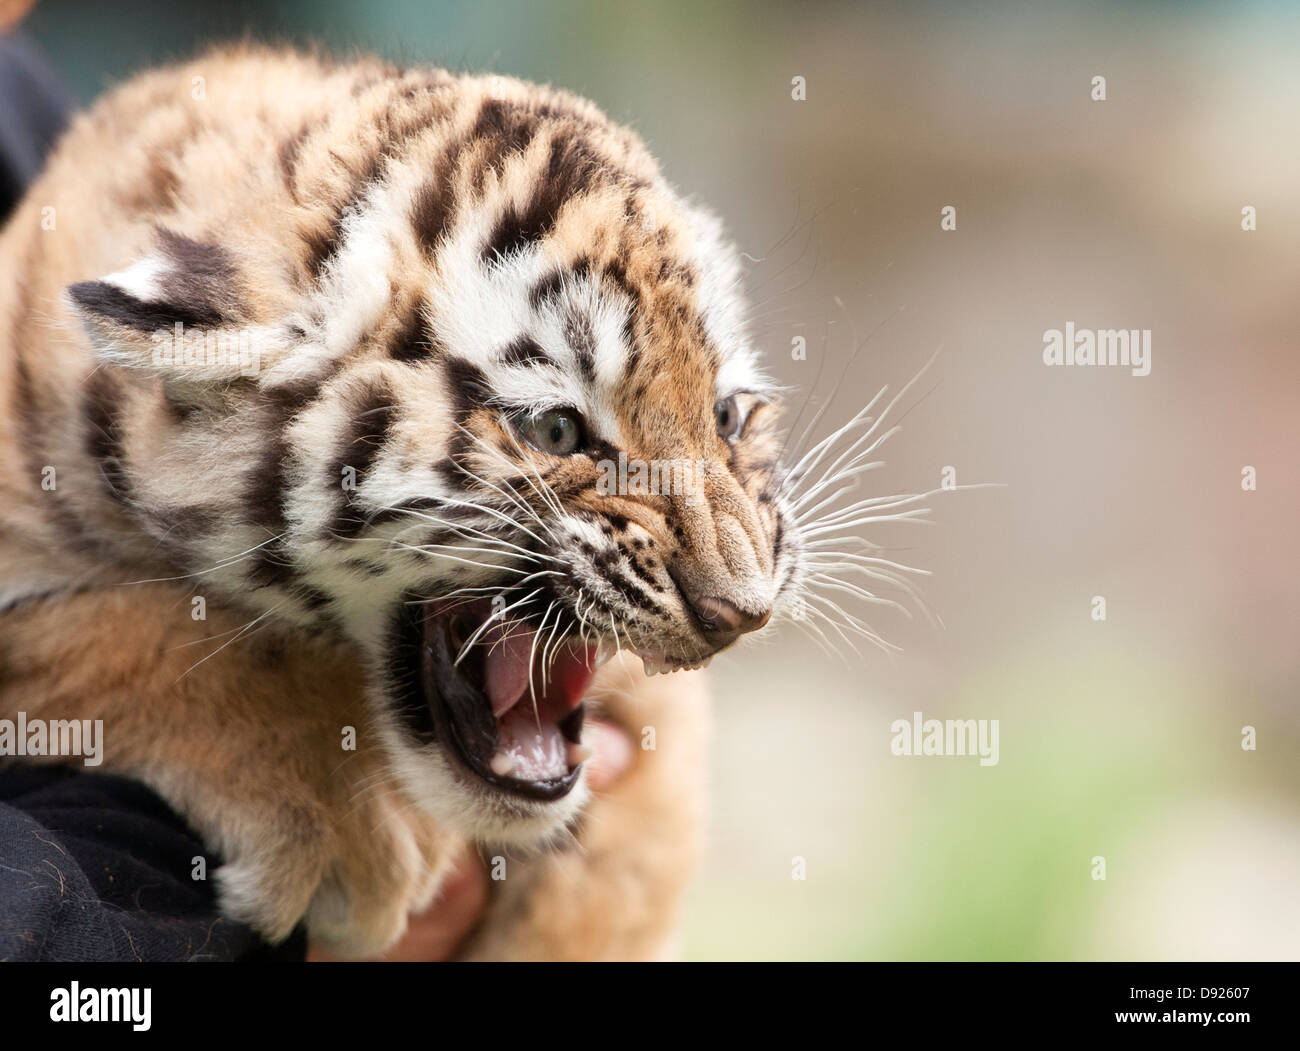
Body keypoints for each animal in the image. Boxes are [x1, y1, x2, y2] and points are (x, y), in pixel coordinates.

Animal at [0, 43, 819, 958]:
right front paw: (338, 818)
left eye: (728, 415)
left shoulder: (656, 737)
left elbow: (615, 881)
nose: (739, 612)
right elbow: (111, 632)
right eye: (556, 430)